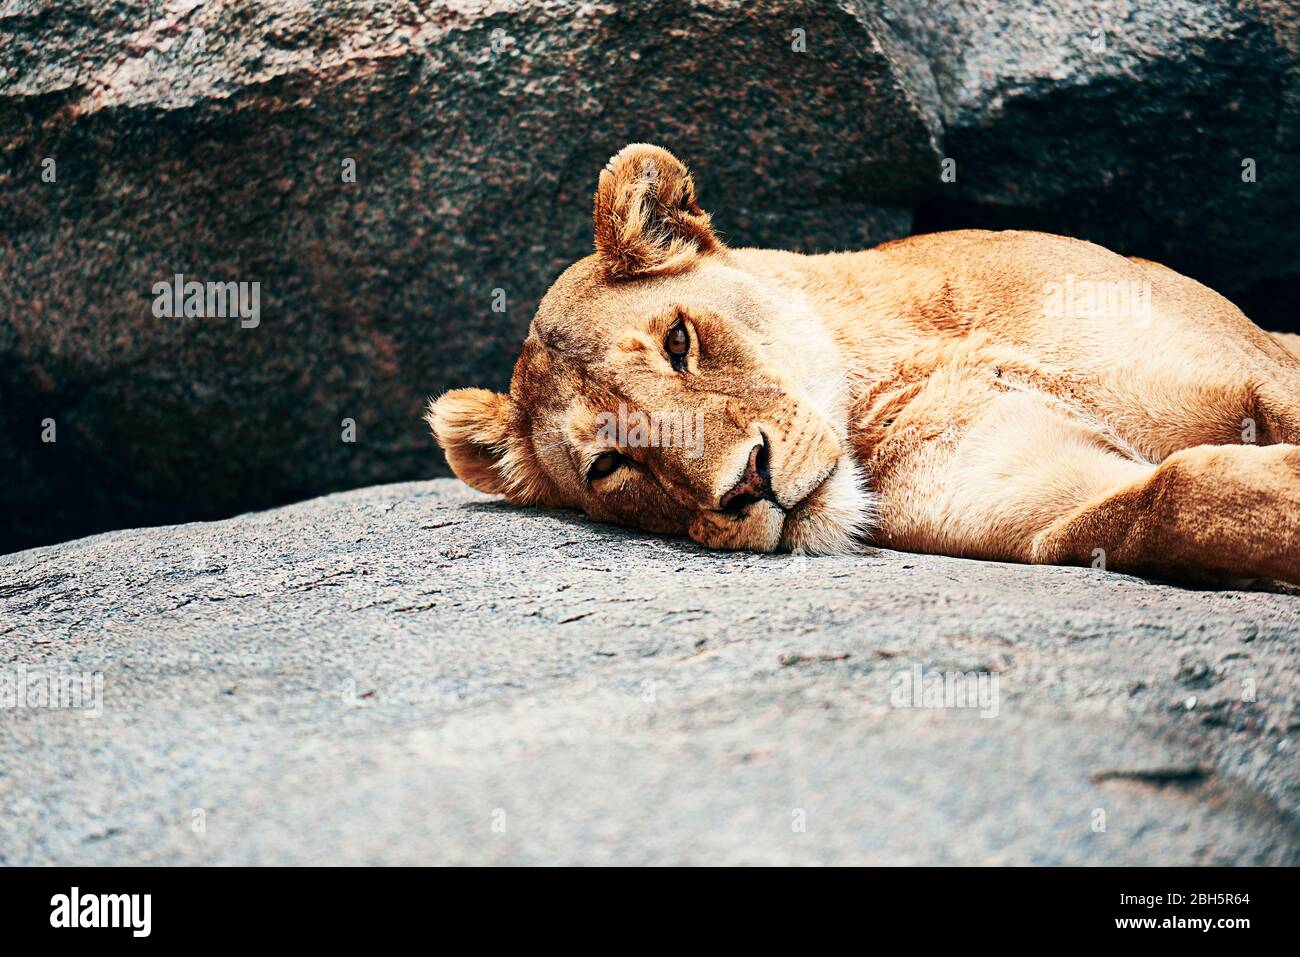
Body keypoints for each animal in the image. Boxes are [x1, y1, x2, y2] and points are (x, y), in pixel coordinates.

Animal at [428, 143, 1300, 586]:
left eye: (678, 342)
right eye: (609, 465)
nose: (747, 485)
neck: (893, 367)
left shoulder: (1264, 369)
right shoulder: (1054, 514)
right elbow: (1179, 496)